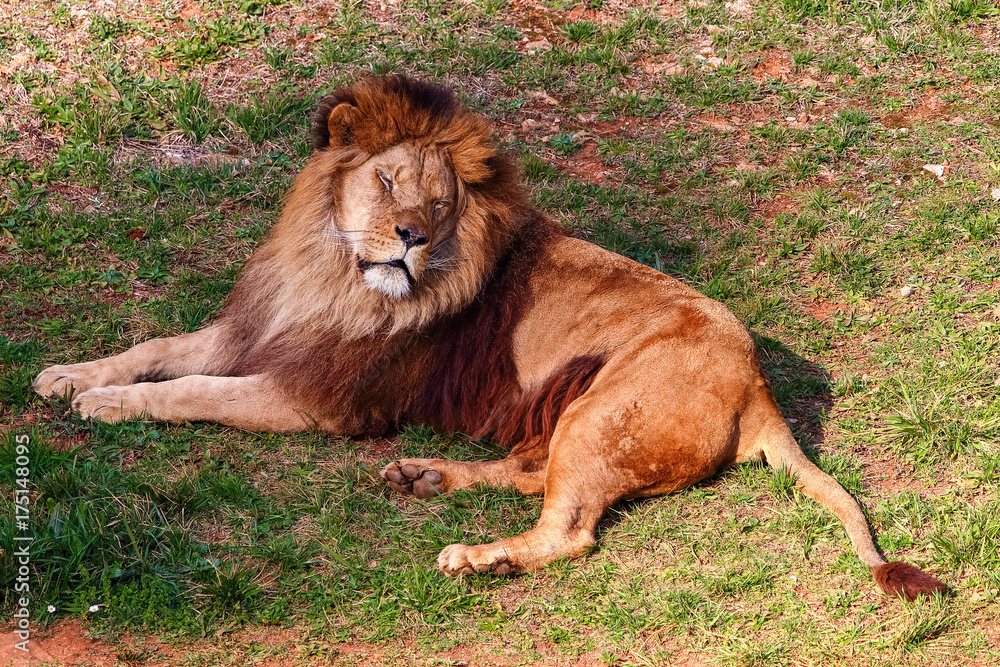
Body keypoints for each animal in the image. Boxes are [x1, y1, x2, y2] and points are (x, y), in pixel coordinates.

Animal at [34, 75, 946, 600]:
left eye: (440, 203)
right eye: (387, 181)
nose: (409, 237)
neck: (330, 268)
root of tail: (761, 387)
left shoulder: (321, 397)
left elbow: (193, 389)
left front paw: (106, 404)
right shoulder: (263, 331)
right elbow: (159, 349)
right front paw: (69, 375)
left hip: (602, 409)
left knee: (569, 527)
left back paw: (482, 558)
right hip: (570, 412)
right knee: (532, 473)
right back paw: (423, 476)